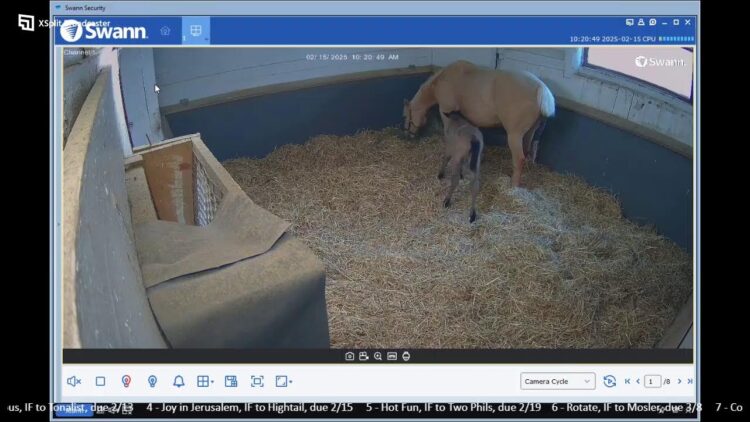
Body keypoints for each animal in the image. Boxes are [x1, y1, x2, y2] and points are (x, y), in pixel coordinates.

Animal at [403, 60, 555, 188]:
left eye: (407, 117)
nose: (408, 135)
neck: (444, 80)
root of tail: (541, 88)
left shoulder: (446, 112)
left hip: (514, 135)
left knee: (519, 159)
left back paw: (513, 186)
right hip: (529, 133)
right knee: (526, 151)